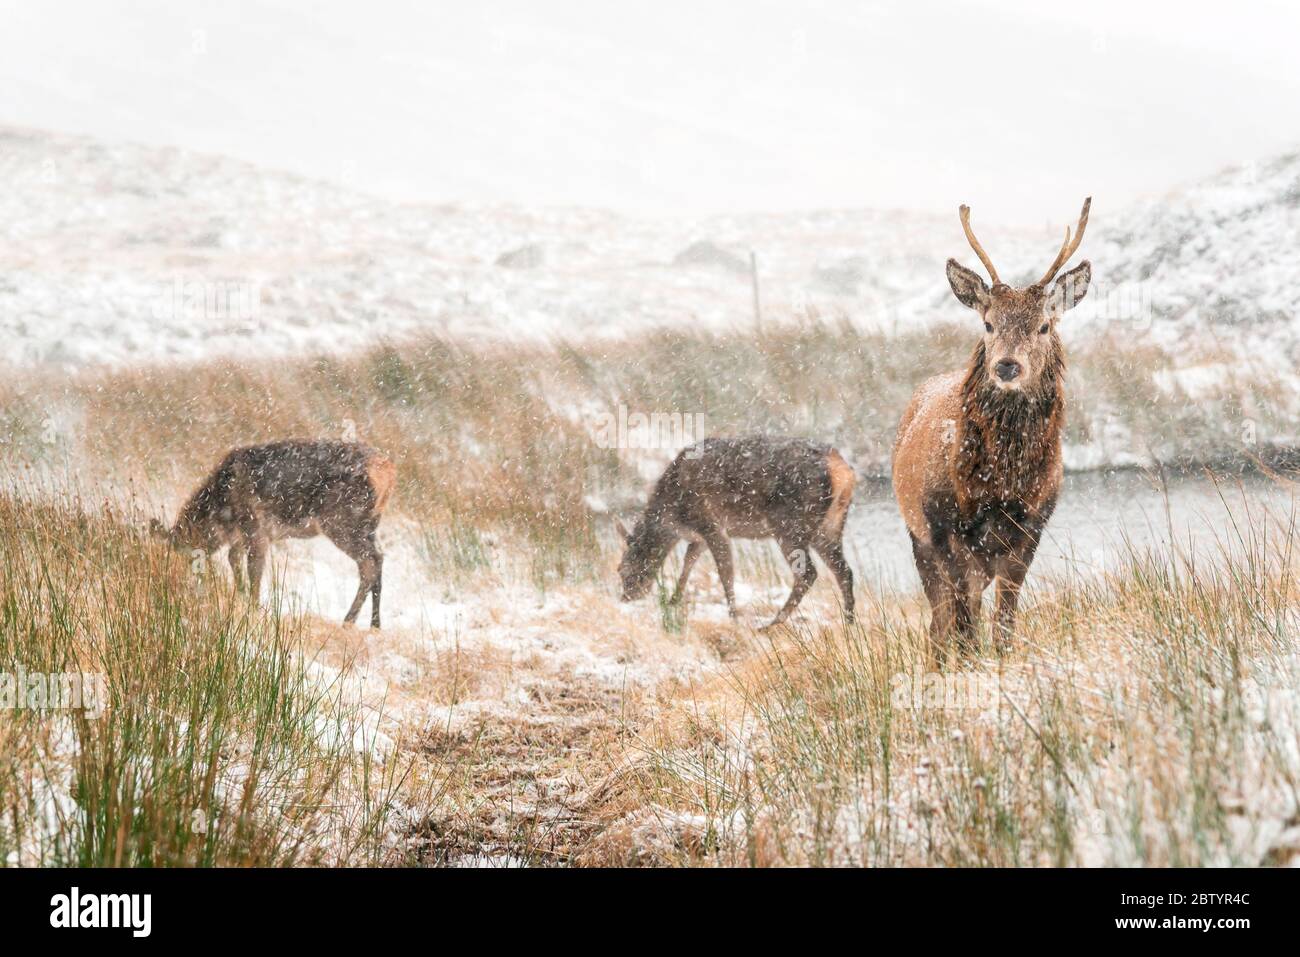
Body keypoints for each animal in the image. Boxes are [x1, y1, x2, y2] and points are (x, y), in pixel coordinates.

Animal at [151, 440, 396, 628]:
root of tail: (387, 472)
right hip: (367, 525)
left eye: (187, 553)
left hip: (341, 521)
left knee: (369, 563)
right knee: (379, 558)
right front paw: (242, 596)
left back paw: (350, 619)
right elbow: (234, 558)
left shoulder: (254, 525)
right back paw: (374, 624)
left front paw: (253, 607)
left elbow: (254, 568)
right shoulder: (248, 534)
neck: (220, 508)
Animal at [617, 435, 857, 629]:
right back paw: (850, 622)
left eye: (623, 569)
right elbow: (689, 561)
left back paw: (771, 623)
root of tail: (842, 471)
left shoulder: (711, 524)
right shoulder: (699, 537)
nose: (625, 597)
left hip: (790, 523)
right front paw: (673, 600)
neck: (673, 517)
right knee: (844, 571)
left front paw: (734, 616)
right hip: (830, 527)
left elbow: (725, 572)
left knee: (808, 573)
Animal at [892, 199, 1092, 662]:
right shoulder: (942, 528)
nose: (1006, 365)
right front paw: (969, 664)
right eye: (987, 323)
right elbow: (963, 621)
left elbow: (1005, 616)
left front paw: (1002, 658)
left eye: (1043, 326)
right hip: (918, 536)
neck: (997, 485)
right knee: (940, 620)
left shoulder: (1032, 524)